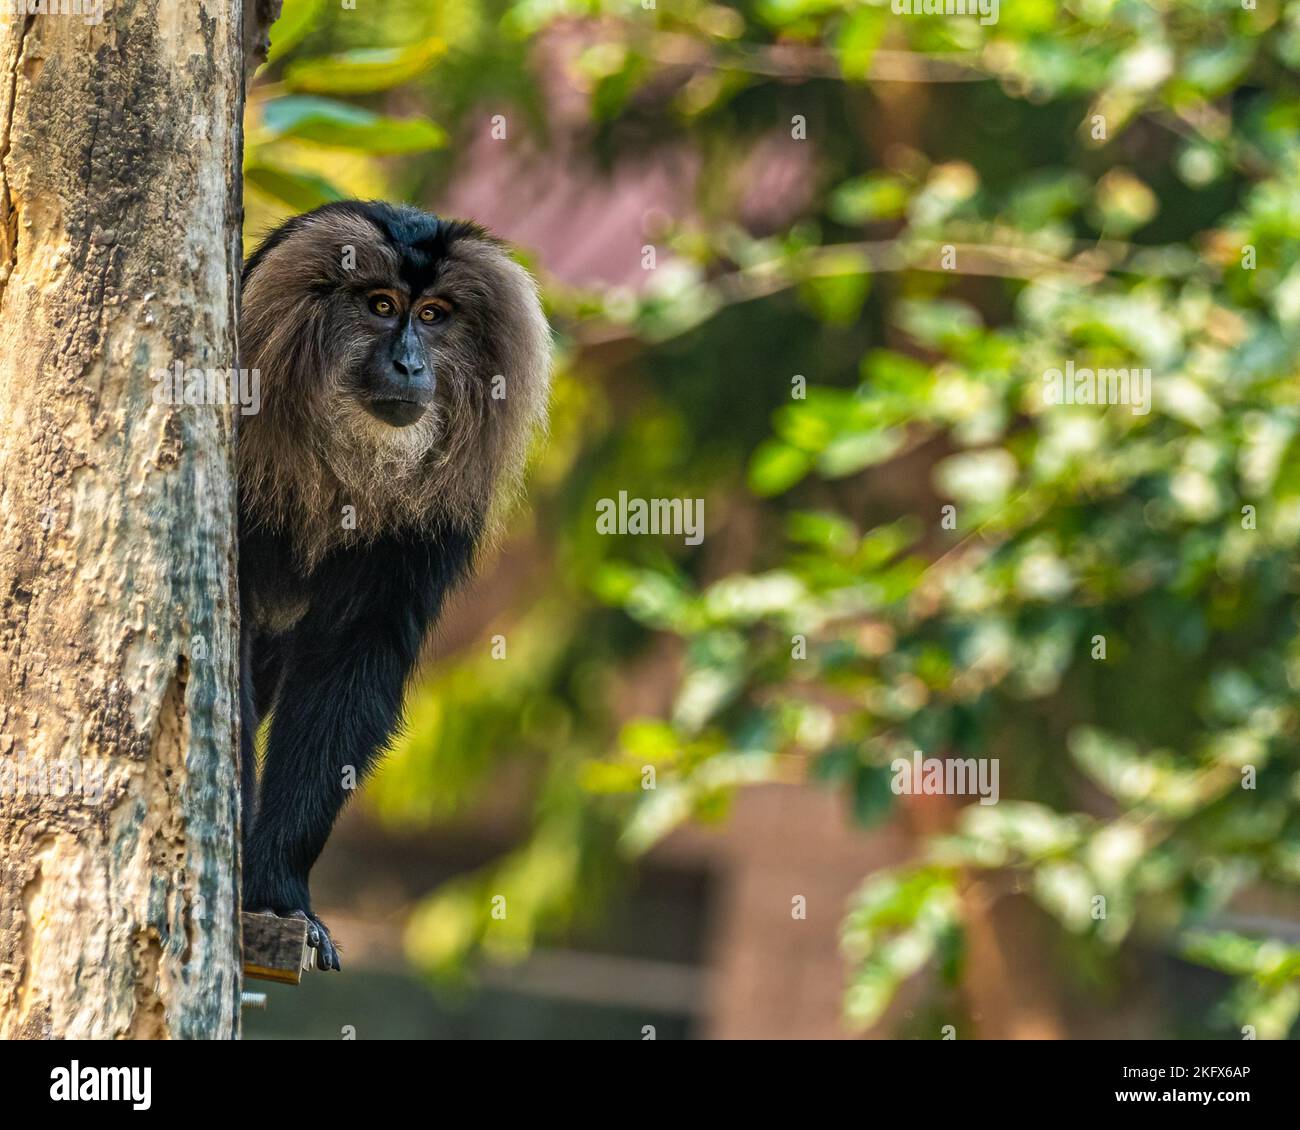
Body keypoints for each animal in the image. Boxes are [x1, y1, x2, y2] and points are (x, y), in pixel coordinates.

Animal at [236, 200, 551, 969]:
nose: (410, 363)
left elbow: (351, 672)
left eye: (434, 316)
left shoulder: (426, 529)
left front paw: (277, 894)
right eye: (380, 306)